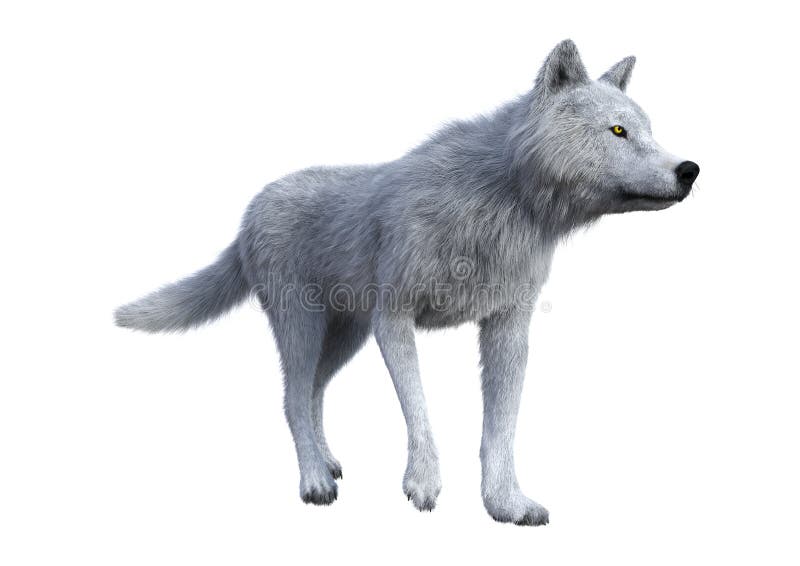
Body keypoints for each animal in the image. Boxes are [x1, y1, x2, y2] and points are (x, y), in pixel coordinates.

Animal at [115, 40, 699, 526]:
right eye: (618, 131)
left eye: (648, 130)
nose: (689, 169)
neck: (495, 203)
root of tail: (248, 213)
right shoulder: (394, 319)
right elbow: (420, 411)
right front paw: (423, 486)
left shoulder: (507, 327)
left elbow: (500, 431)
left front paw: (506, 505)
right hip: (306, 329)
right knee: (291, 398)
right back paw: (314, 482)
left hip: (345, 336)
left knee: (314, 393)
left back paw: (328, 461)